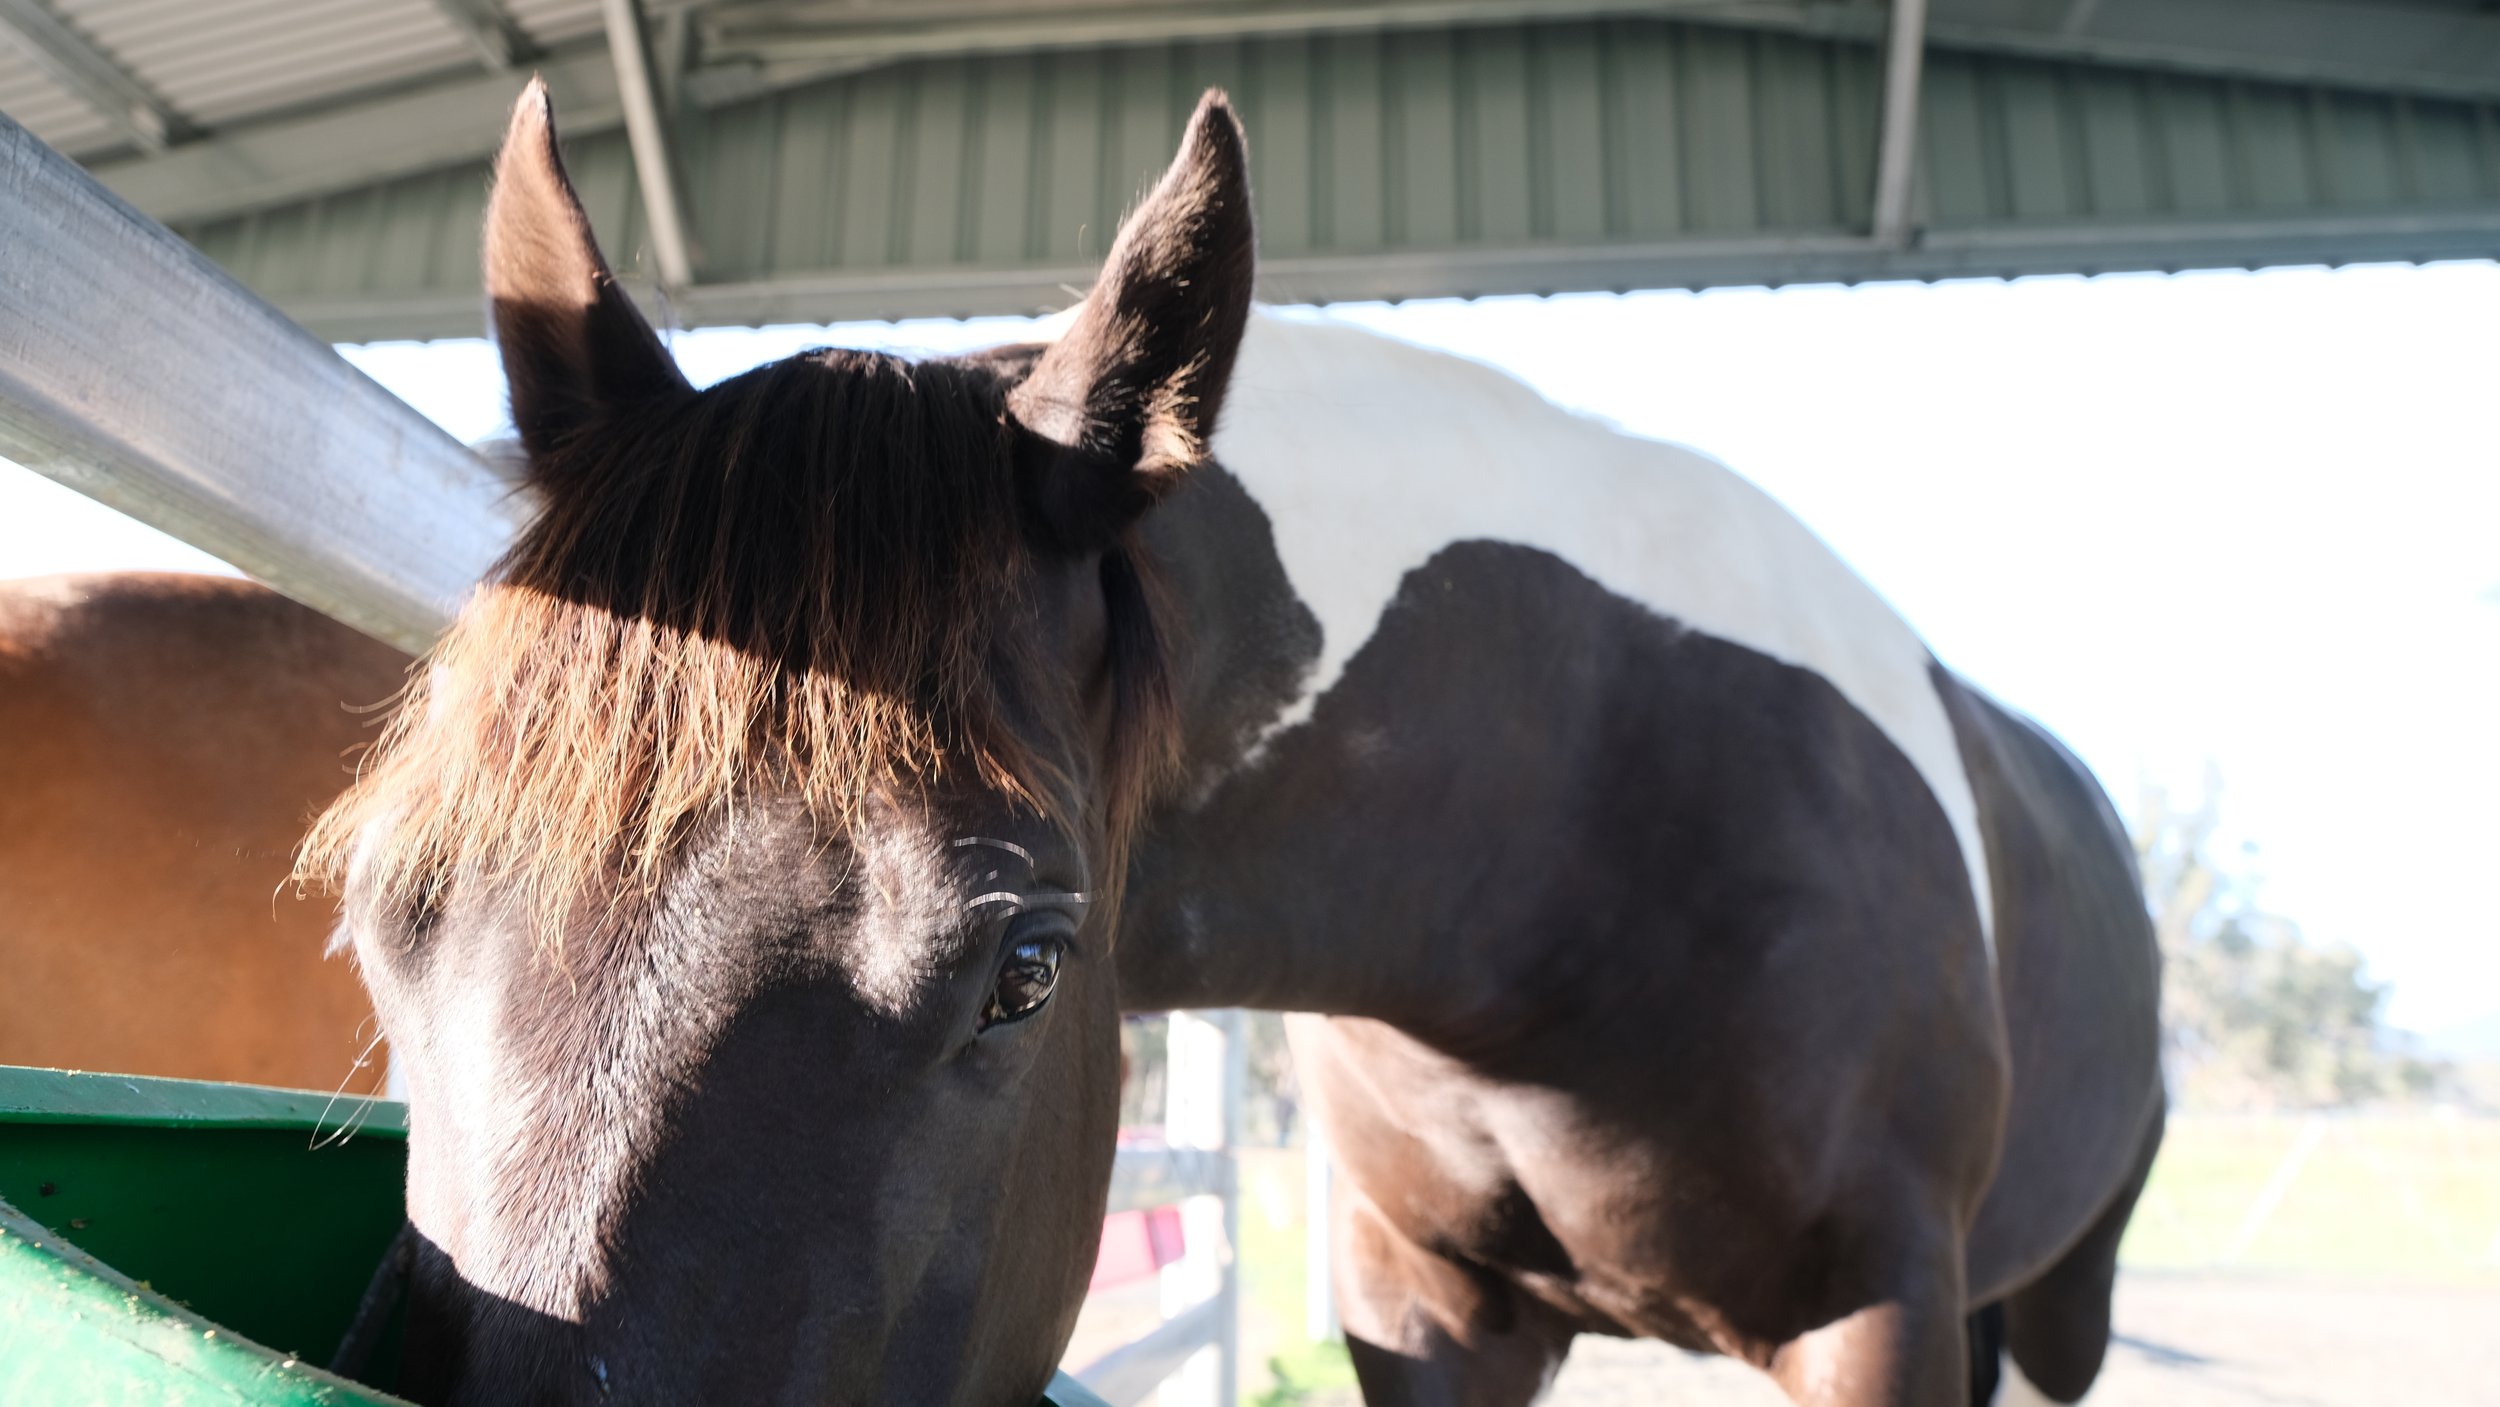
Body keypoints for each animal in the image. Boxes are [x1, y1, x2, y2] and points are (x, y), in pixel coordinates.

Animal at [296, 82, 2163, 1407]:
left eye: (1026, 970)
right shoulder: (1425, 1313)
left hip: (2053, 1303)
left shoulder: (1884, 1318)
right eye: (383, 918)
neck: (1596, 829)